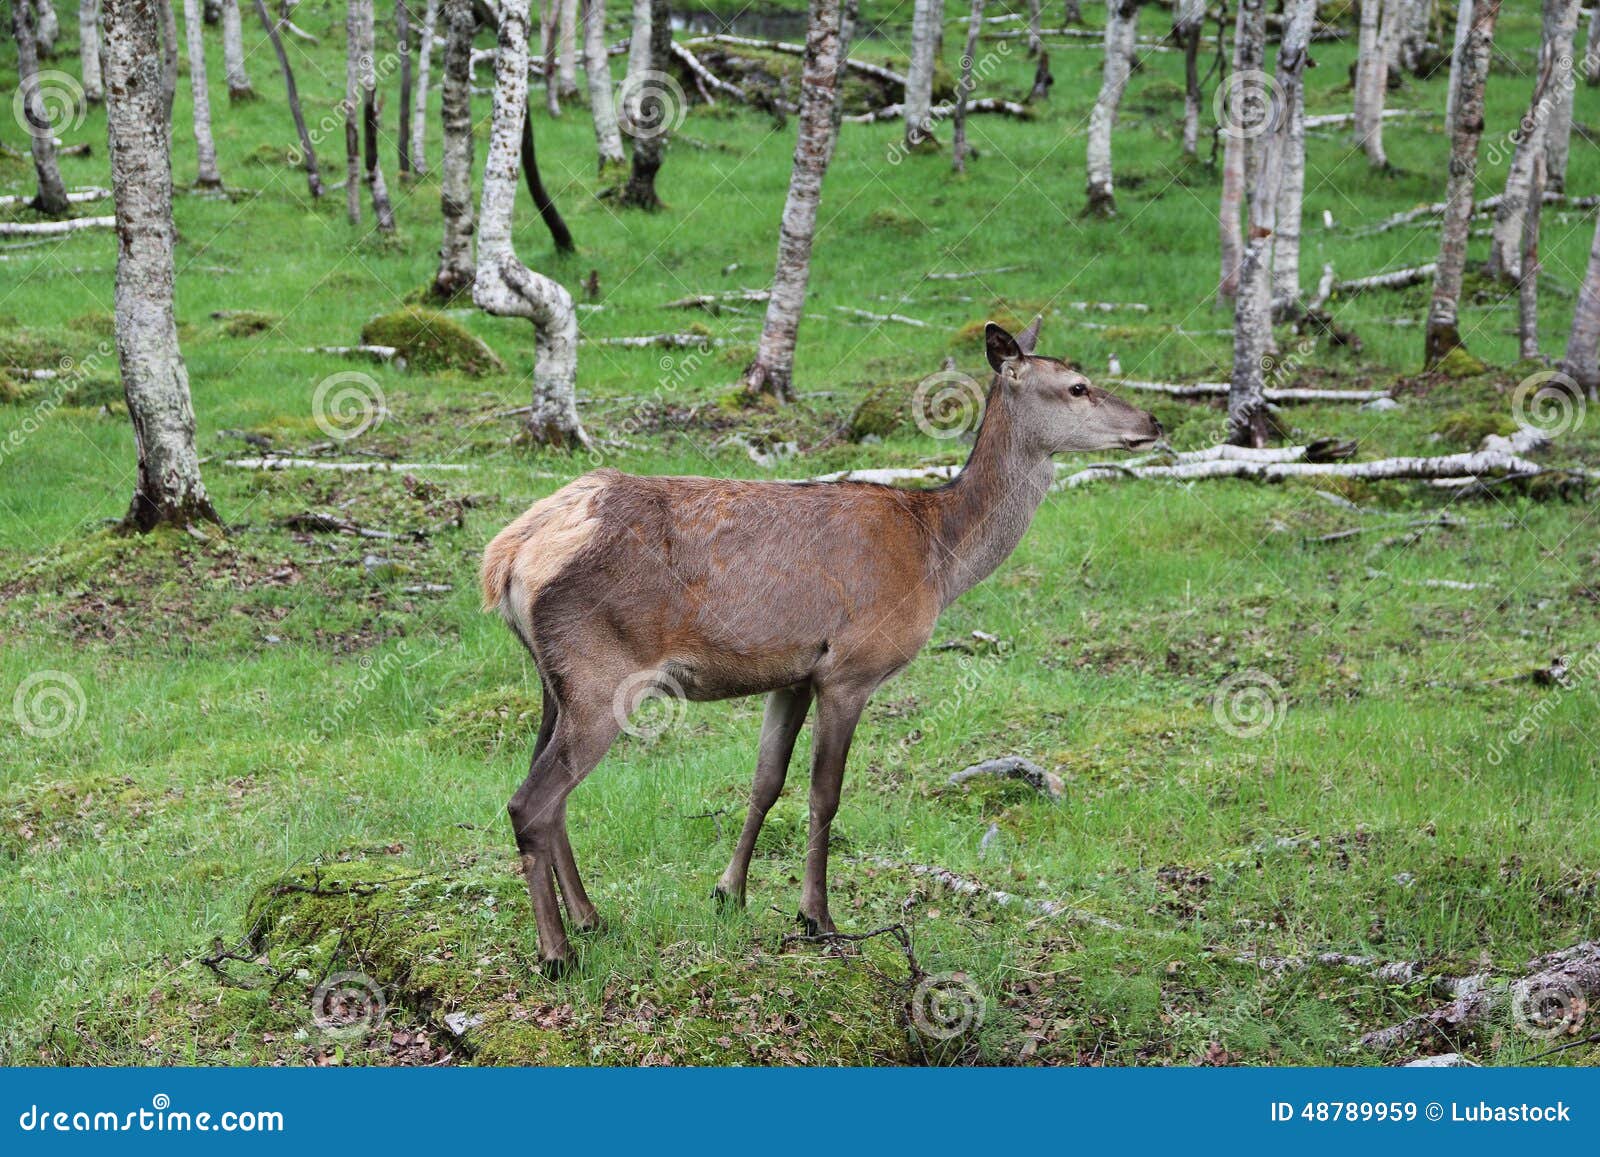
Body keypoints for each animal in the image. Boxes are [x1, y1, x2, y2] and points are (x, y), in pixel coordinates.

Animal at [481, 319, 1162, 973]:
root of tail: (508, 555)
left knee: (548, 796)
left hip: (553, 681)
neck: (938, 557)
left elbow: (765, 781)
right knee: (529, 802)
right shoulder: (851, 669)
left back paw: (591, 919)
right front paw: (817, 918)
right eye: (1077, 386)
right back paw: (557, 954)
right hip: (601, 675)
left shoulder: (793, 674)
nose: (1154, 423)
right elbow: (824, 794)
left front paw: (730, 892)